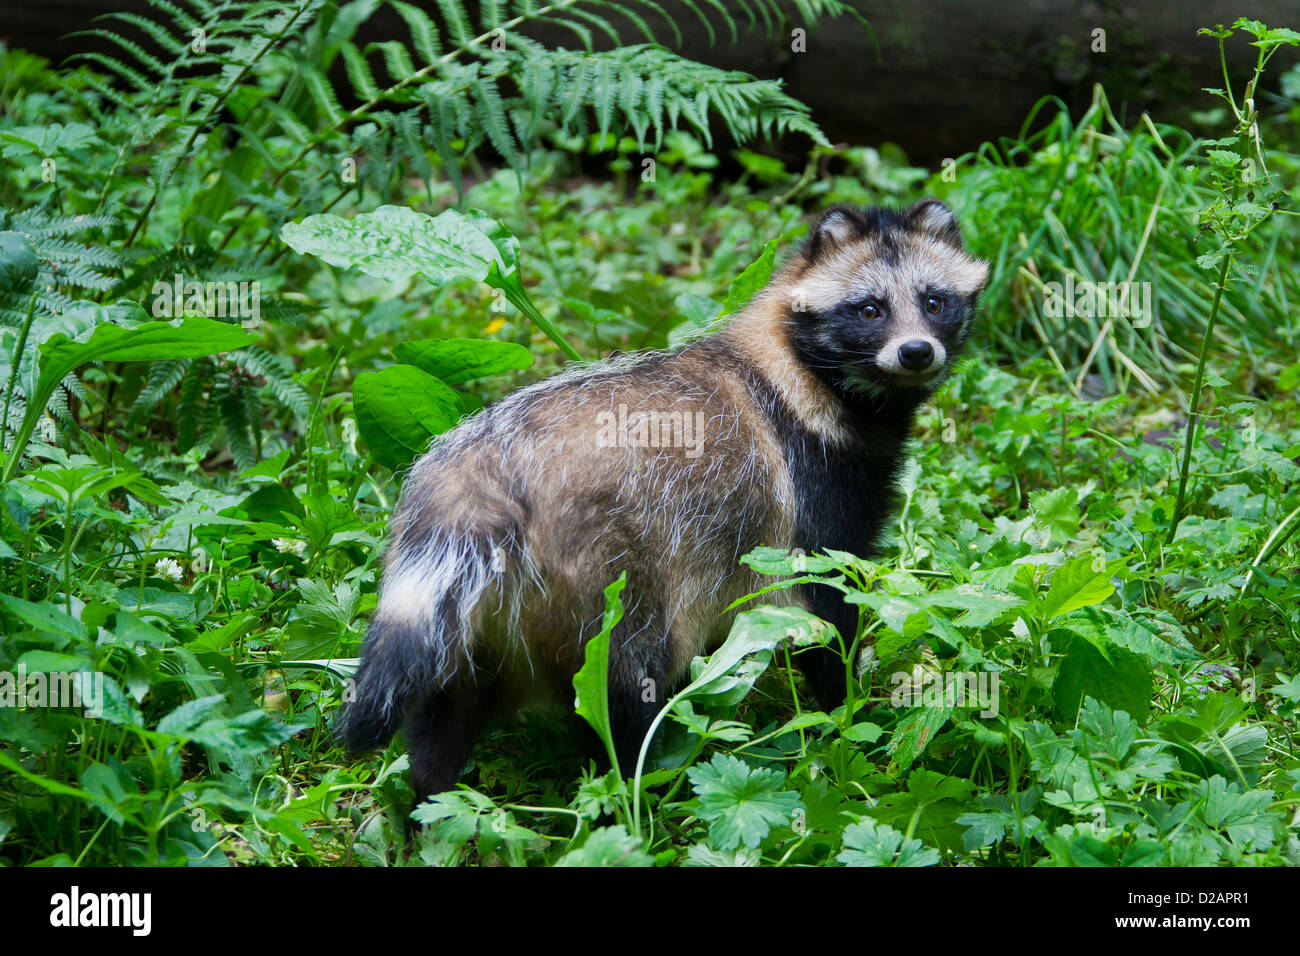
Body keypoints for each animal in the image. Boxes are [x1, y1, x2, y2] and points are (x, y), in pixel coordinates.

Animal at [341, 199, 989, 799]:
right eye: (868, 309)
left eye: (934, 300)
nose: (915, 351)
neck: (800, 368)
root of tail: (479, 479)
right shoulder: (812, 491)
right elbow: (827, 607)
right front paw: (844, 708)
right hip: (612, 581)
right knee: (626, 694)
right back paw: (634, 788)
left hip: (478, 616)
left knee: (448, 710)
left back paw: (428, 796)